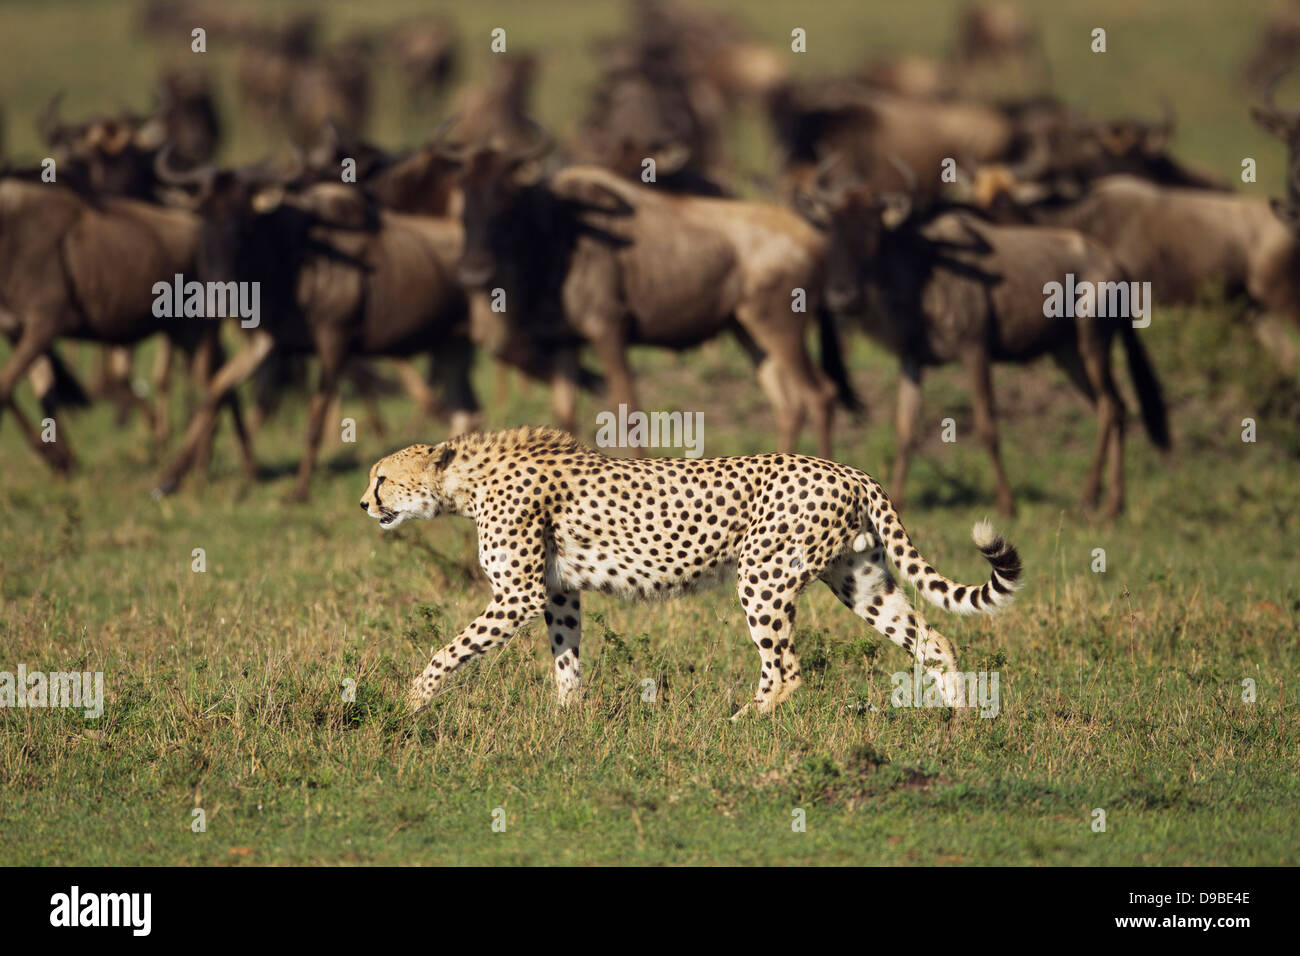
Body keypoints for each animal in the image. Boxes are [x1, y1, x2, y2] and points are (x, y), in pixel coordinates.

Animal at [359, 426, 1022, 716]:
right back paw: (956, 721)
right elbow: (566, 654)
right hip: (857, 577)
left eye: (381, 477)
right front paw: (569, 717)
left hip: (762, 576)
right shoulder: (558, 592)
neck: (465, 482)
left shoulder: (518, 594)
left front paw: (410, 700)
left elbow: (448, 650)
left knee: (786, 667)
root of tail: (850, 468)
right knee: (933, 639)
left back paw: (743, 723)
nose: (364, 504)